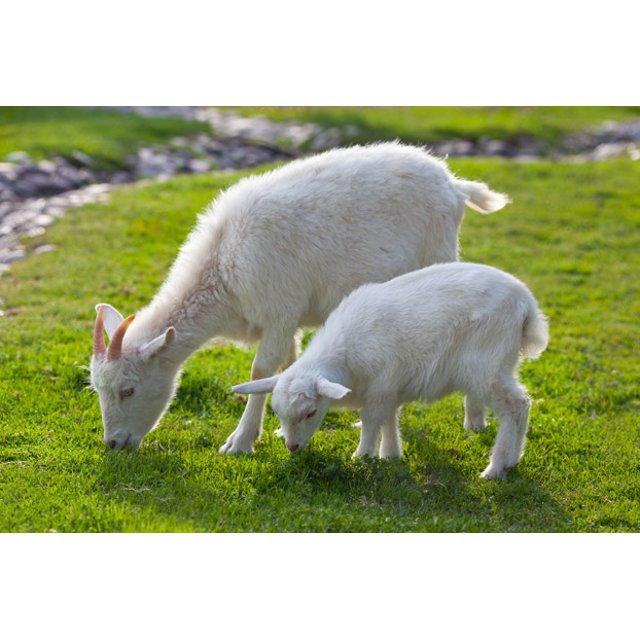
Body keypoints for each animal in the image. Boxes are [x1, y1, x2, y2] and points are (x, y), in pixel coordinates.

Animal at [90, 142, 508, 452]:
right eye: (98, 389)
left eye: (128, 390)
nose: (113, 444)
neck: (224, 266)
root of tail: (455, 185)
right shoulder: (286, 321)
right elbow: (287, 364)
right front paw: (278, 427)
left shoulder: (278, 311)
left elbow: (260, 370)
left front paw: (240, 441)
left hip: (440, 257)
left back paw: (474, 419)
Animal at [233, 262, 548, 479]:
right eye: (277, 413)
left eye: (311, 413)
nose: (292, 447)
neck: (344, 354)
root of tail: (527, 306)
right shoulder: (388, 388)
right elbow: (388, 418)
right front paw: (391, 455)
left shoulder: (381, 383)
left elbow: (372, 420)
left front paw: (362, 456)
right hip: (503, 362)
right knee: (523, 403)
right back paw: (512, 460)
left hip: (485, 365)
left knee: (515, 406)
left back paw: (496, 468)